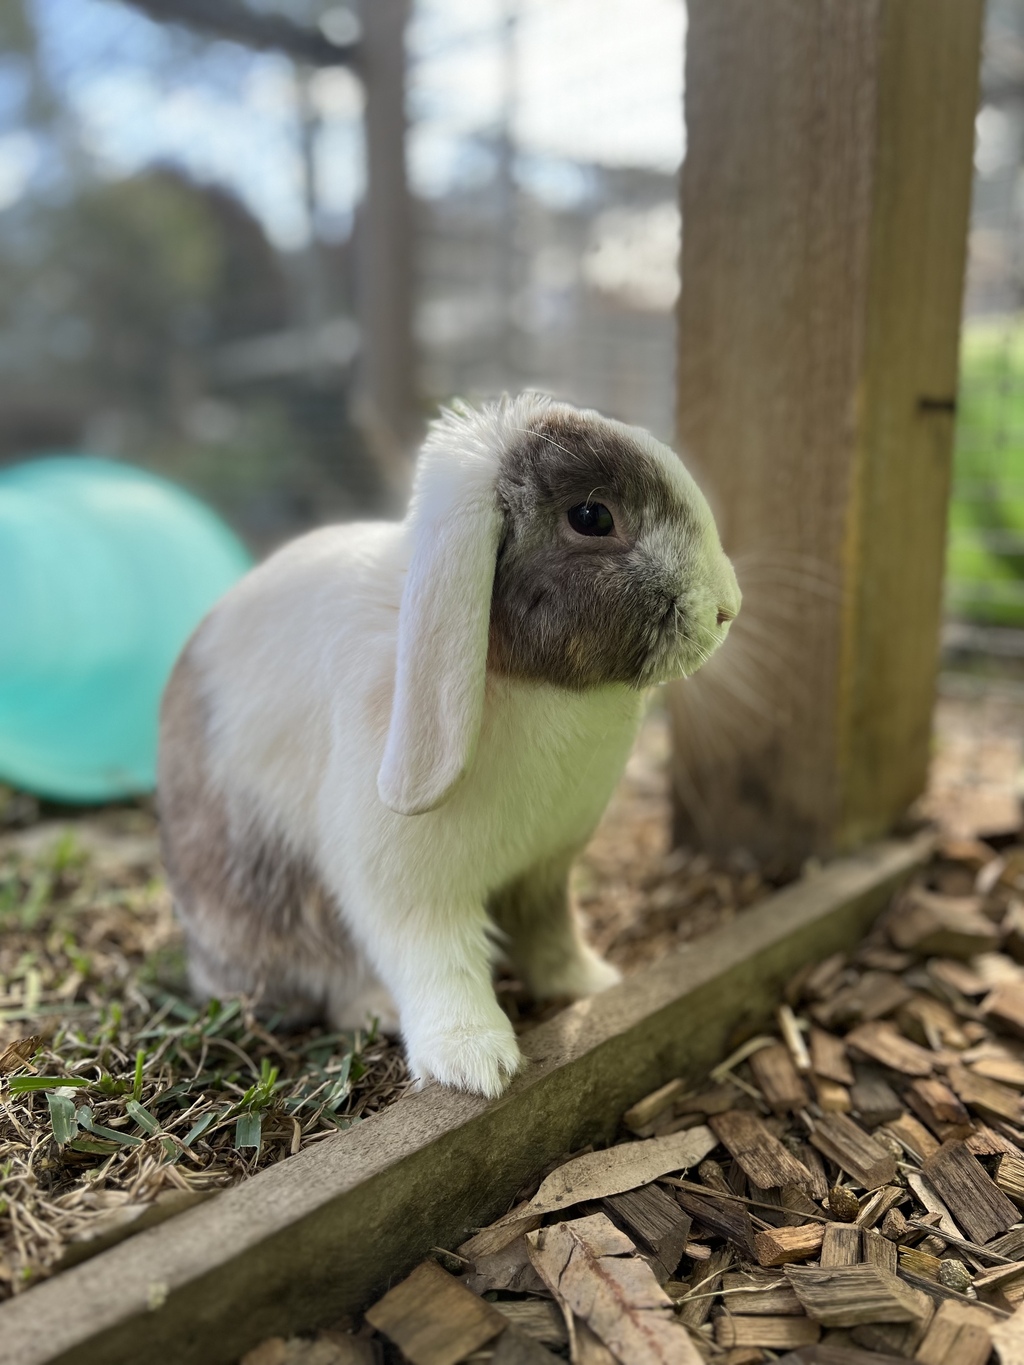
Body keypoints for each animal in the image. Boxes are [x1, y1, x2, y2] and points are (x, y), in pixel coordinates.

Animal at [158, 393, 740, 1098]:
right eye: (592, 516)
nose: (728, 609)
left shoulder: (545, 872)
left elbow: (552, 933)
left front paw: (589, 984)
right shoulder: (410, 894)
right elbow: (440, 966)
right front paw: (475, 1064)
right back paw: (376, 1008)